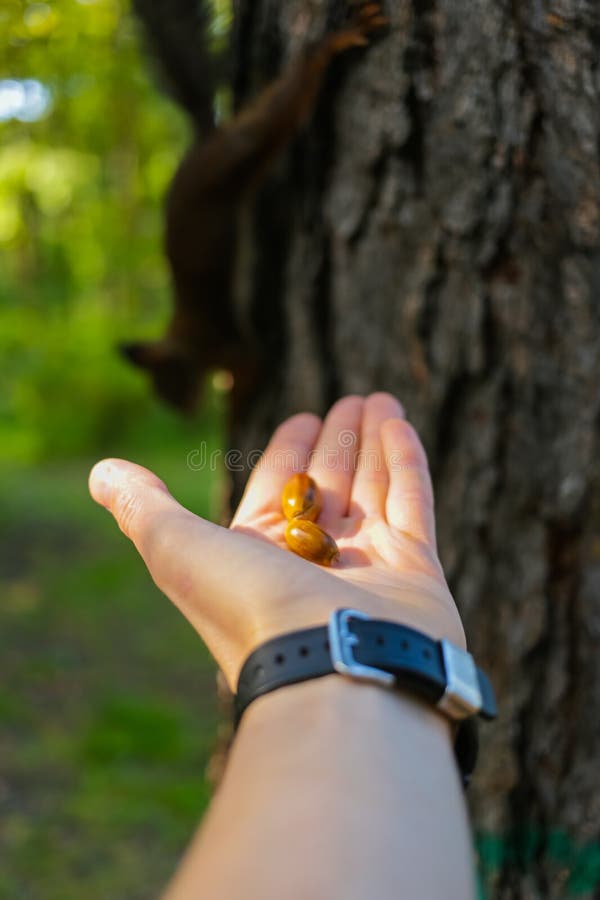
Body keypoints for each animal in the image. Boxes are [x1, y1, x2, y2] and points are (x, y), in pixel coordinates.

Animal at [123, 2, 387, 414]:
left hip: (234, 155)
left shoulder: (226, 347)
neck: (184, 338)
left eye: (170, 385)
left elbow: (253, 371)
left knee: (276, 113)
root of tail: (204, 142)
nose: (187, 414)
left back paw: (326, 46)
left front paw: (235, 410)